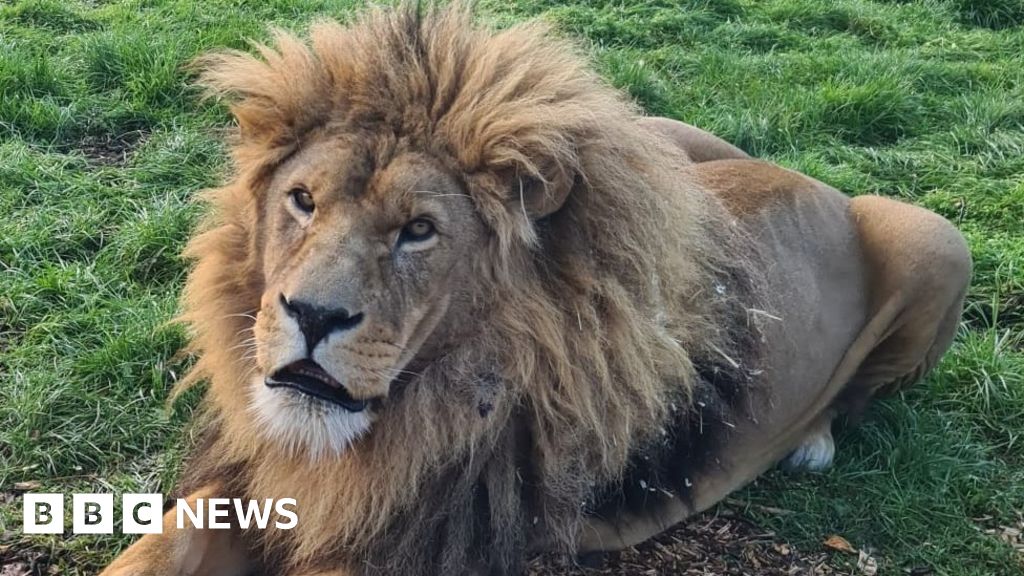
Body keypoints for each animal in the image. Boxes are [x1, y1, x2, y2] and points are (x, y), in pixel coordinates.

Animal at [101, 4, 970, 575]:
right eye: (302, 201)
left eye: (419, 229)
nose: (312, 315)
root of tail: (810, 180)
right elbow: (163, 544)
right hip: (659, 138)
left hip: (936, 237)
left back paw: (814, 441)